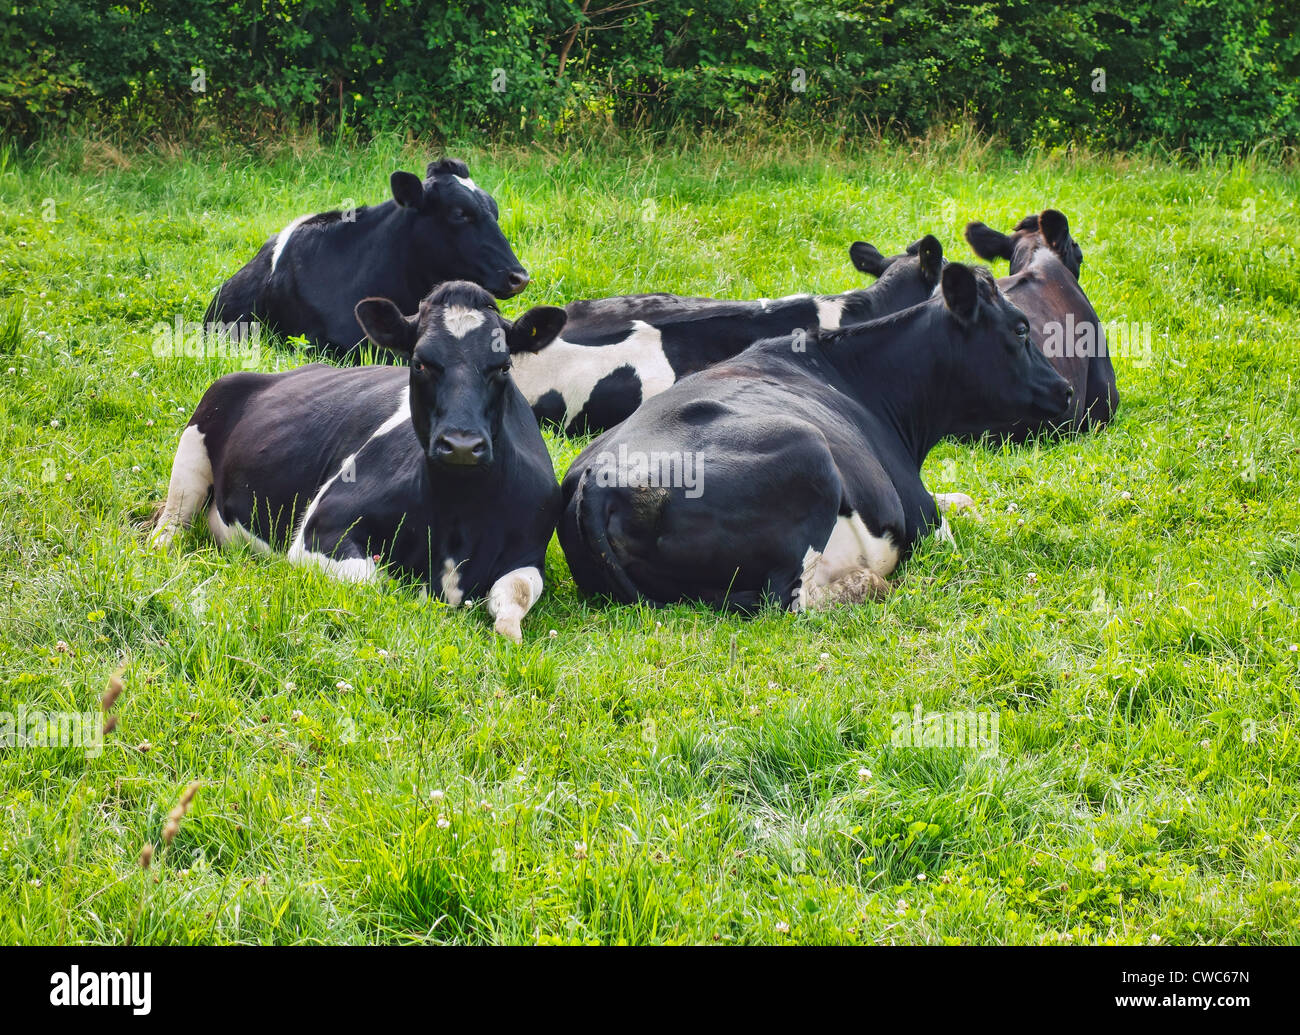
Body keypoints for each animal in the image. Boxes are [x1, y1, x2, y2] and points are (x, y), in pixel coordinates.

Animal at [152, 281, 567, 642]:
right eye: (420, 363)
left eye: (504, 366)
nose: (462, 444)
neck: (459, 513)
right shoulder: (320, 528)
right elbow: (373, 580)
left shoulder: (530, 551)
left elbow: (514, 596)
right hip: (196, 441)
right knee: (171, 525)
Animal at [557, 263, 1073, 612]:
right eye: (1021, 329)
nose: (1065, 390)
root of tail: (594, 482)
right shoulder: (921, 516)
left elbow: (965, 500)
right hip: (807, 452)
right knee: (794, 599)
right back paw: (874, 584)